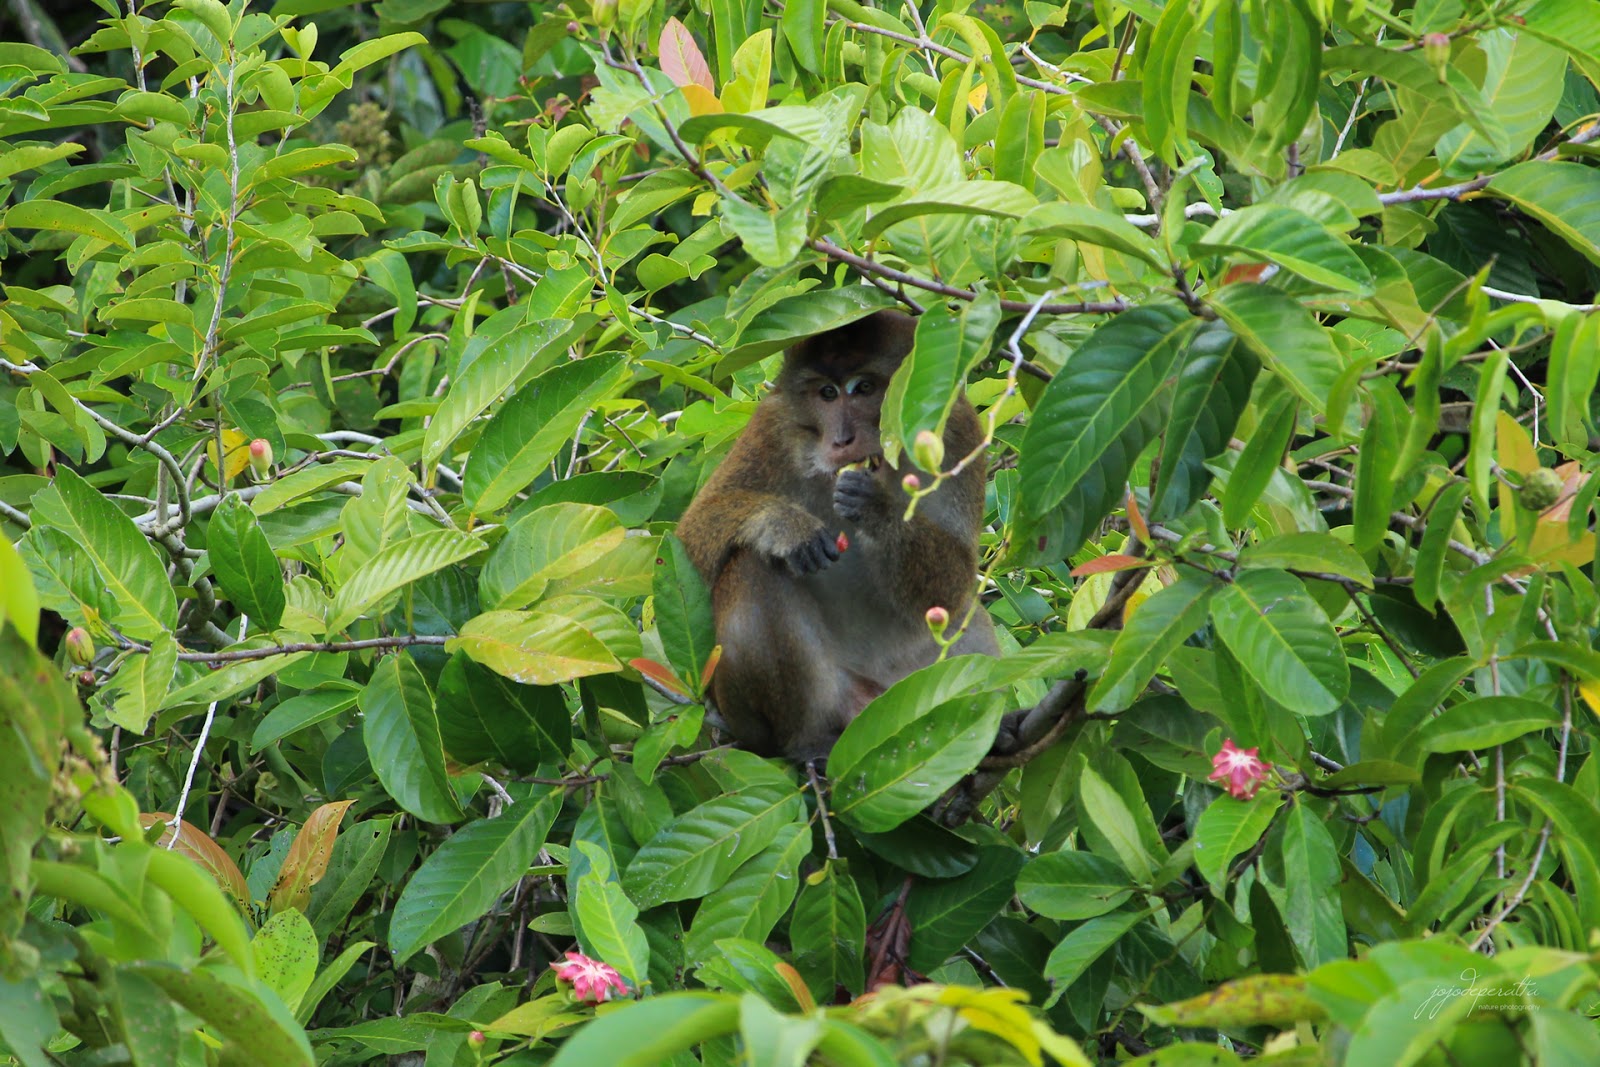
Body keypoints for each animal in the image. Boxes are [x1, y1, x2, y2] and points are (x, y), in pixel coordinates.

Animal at [676, 309, 998, 761]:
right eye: (827, 394)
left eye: (863, 388)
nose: (842, 439)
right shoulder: (774, 427)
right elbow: (691, 541)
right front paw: (784, 526)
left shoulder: (959, 429)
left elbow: (951, 589)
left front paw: (876, 508)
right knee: (752, 568)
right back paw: (805, 741)